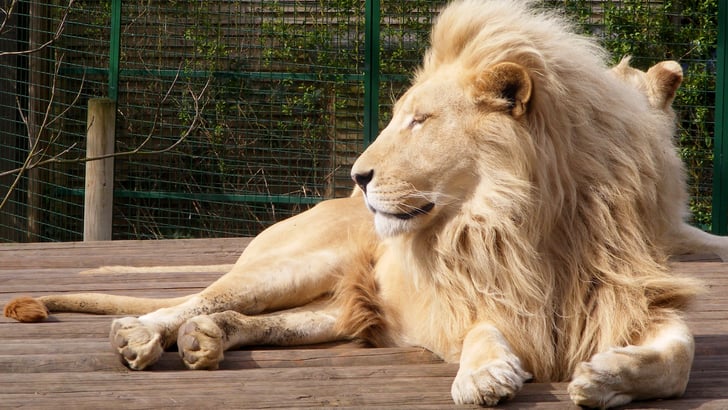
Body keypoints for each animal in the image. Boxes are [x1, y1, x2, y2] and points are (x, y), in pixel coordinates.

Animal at [3, 0, 710, 407]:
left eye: (421, 121)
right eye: (401, 116)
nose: (359, 175)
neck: (521, 221)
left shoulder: (640, 297)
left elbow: (679, 357)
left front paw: (607, 377)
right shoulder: (465, 302)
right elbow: (483, 328)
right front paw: (485, 376)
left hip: (337, 309)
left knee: (246, 320)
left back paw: (207, 342)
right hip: (293, 265)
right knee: (190, 300)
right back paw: (140, 337)